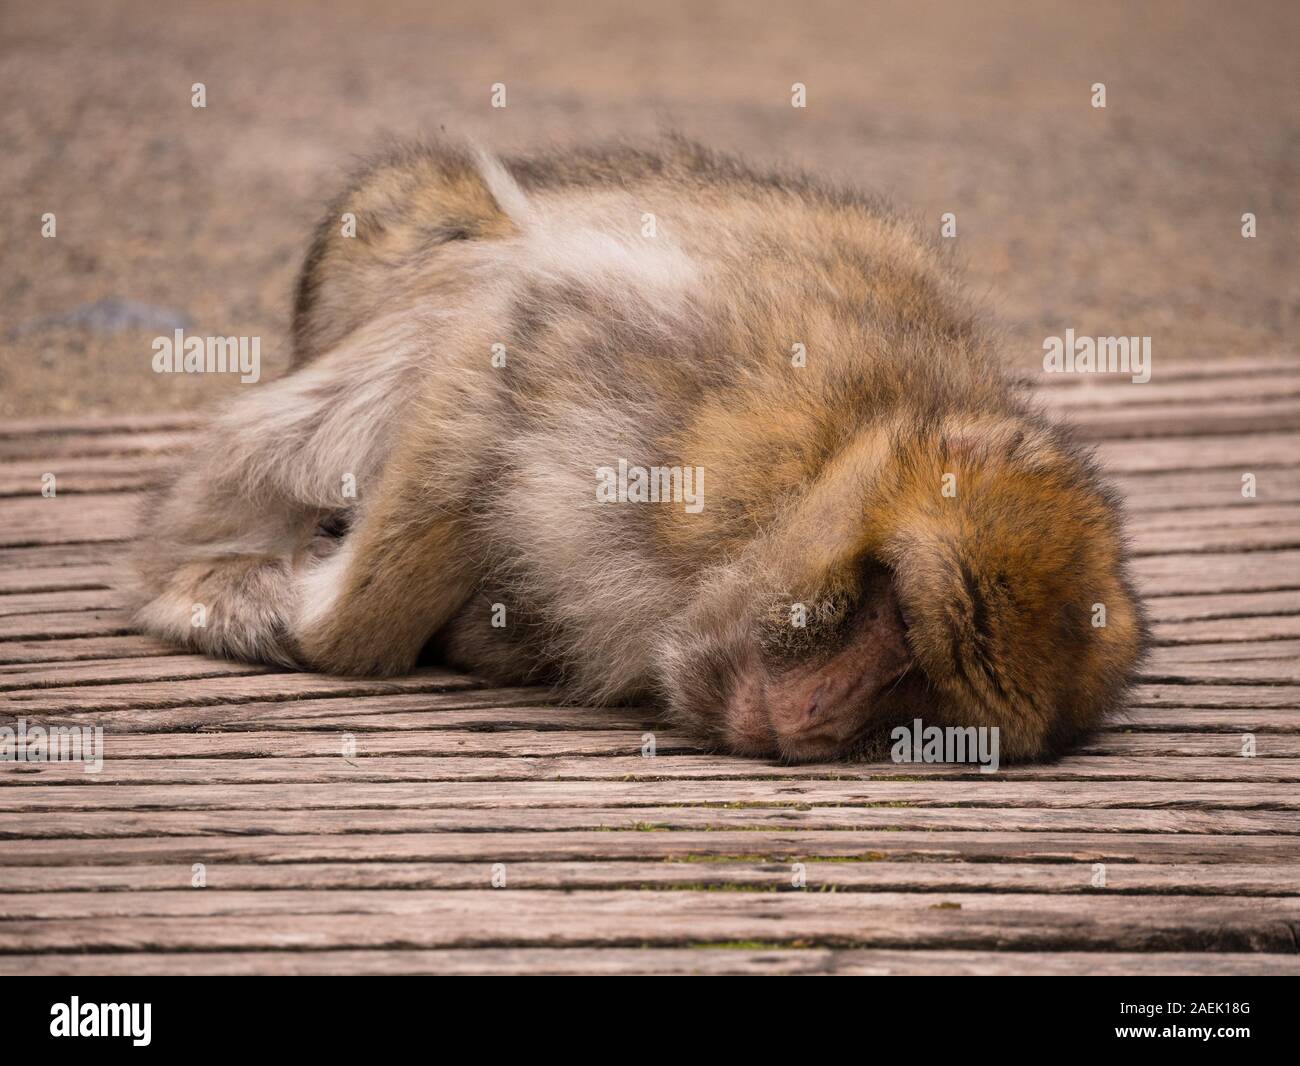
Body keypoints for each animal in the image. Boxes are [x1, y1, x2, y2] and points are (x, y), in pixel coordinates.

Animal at [132, 136, 1147, 764]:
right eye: (896, 617)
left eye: (922, 697)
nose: (820, 719)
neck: (819, 470)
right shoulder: (708, 419)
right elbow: (504, 340)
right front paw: (287, 613)